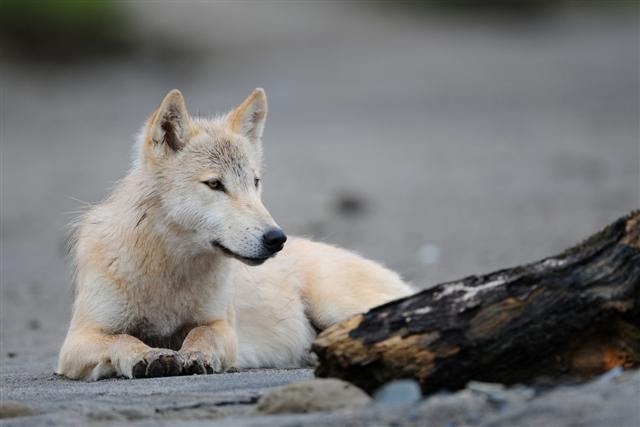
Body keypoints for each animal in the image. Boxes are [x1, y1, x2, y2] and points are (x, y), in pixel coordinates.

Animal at [57, 88, 413, 380]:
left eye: (254, 182)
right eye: (215, 184)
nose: (276, 238)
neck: (169, 270)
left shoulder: (223, 327)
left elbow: (201, 334)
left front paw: (193, 356)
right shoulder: (77, 341)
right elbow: (124, 339)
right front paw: (150, 356)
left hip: (336, 307)